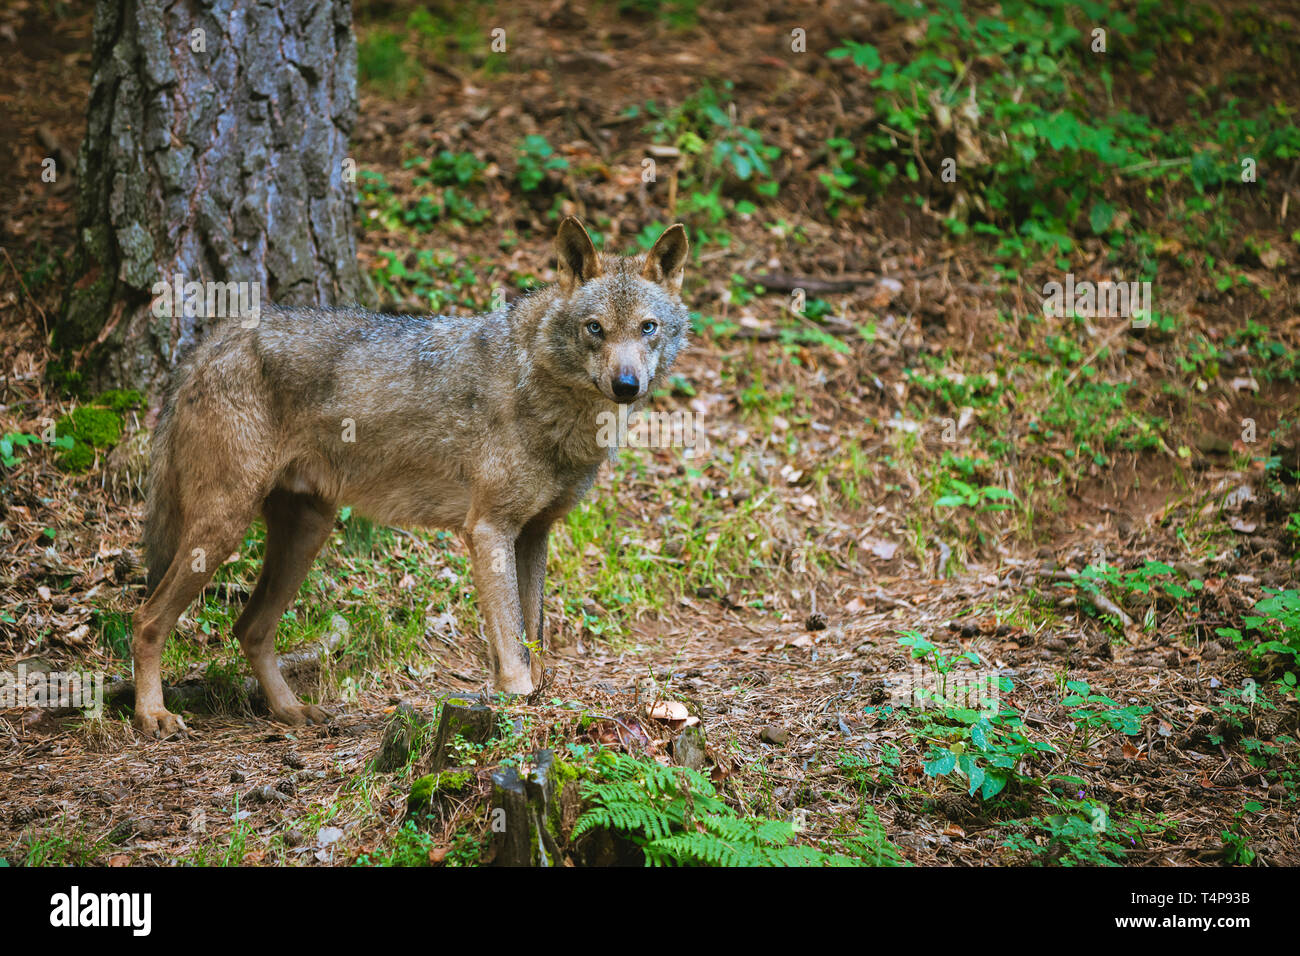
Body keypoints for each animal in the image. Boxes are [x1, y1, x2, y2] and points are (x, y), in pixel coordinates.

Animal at [131, 218, 690, 736]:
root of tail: (212, 341)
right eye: (595, 328)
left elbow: (533, 636)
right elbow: (511, 643)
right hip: (223, 529)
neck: (546, 392)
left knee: (249, 629)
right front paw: (518, 705)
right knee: (148, 619)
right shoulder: (488, 530)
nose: (626, 385)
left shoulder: (534, 533)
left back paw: (291, 711)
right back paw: (153, 714)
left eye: (648, 328)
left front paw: (539, 699)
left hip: (307, 533)